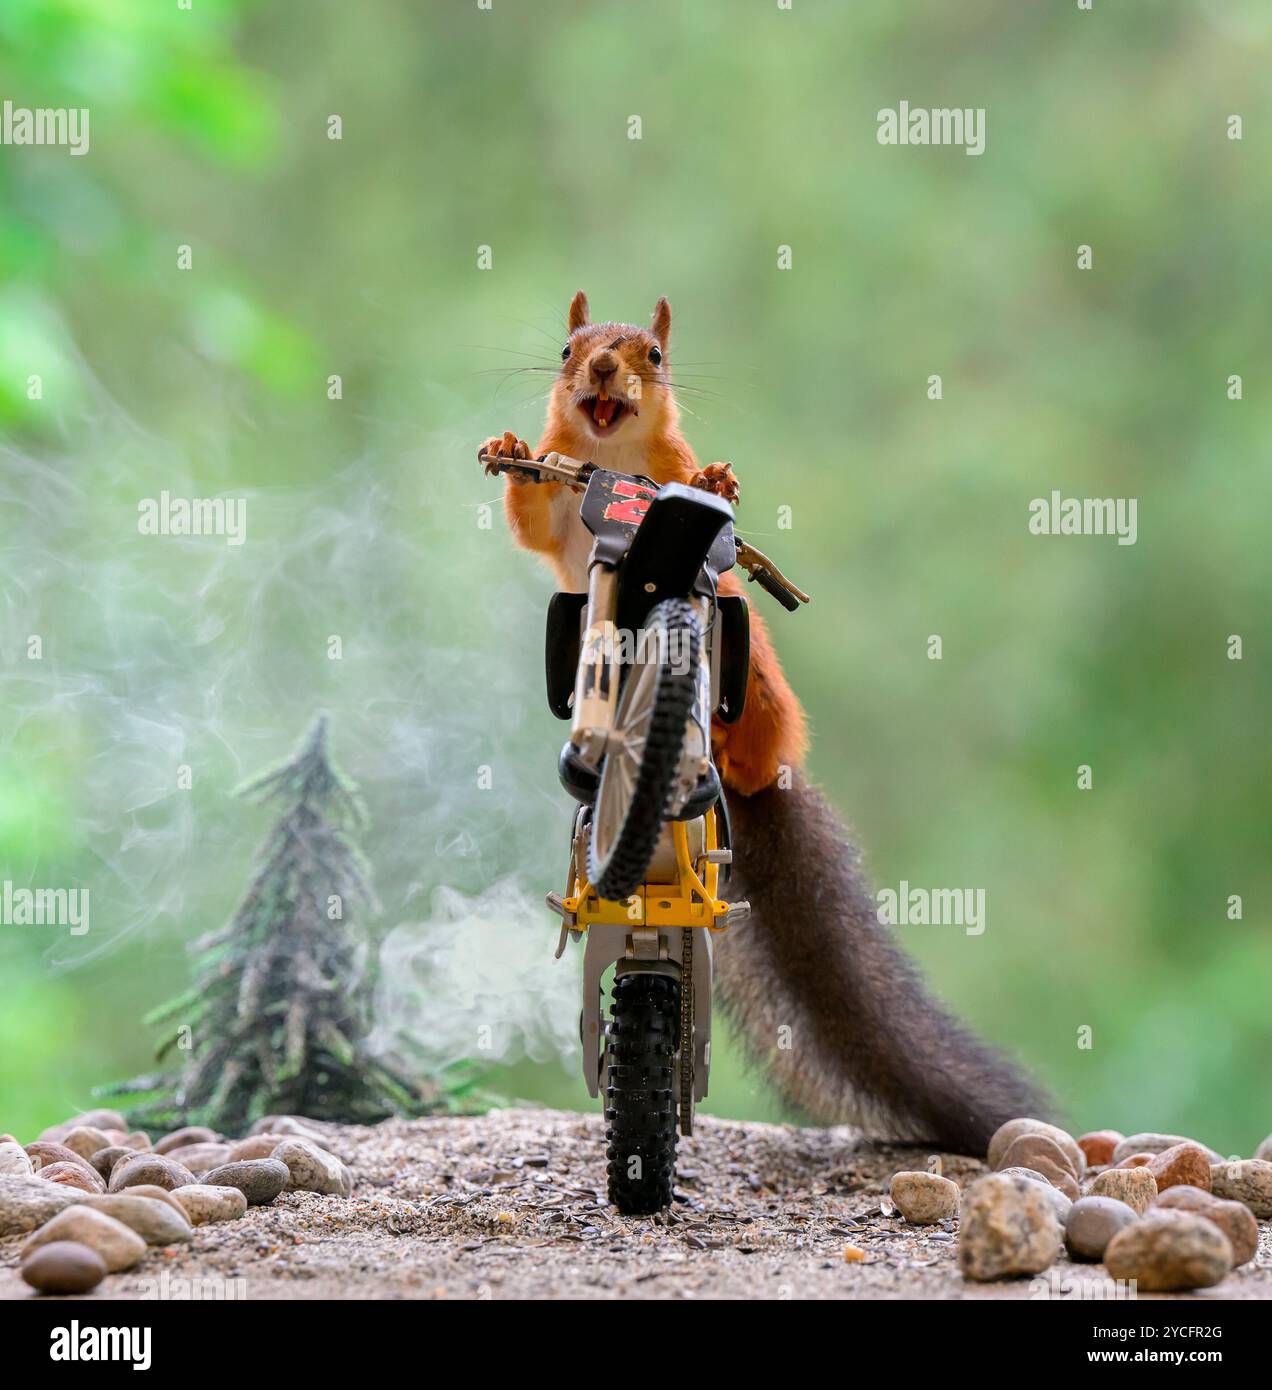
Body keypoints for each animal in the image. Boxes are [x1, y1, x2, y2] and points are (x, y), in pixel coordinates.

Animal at [480, 291, 1050, 1154]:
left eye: (654, 354)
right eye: (568, 350)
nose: (605, 367)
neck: (617, 459)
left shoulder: (675, 490)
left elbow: (699, 498)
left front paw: (718, 476)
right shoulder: (562, 500)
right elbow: (531, 517)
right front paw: (509, 446)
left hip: (760, 684)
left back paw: (728, 748)